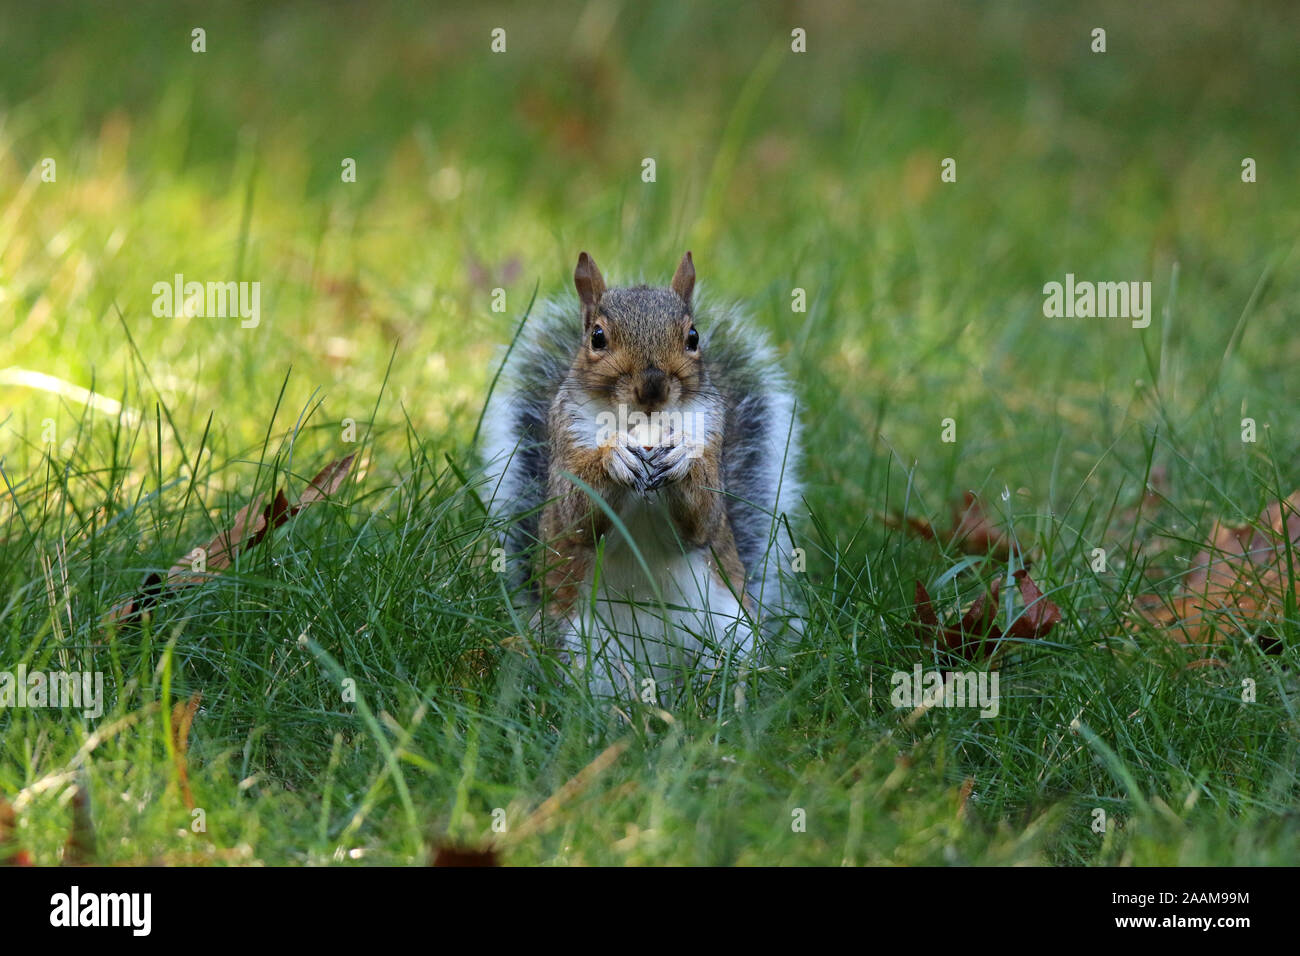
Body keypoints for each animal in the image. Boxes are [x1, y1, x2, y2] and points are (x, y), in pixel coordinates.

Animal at [482, 251, 802, 697]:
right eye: (597, 337)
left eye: (694, 337)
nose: (652, 387)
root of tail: (661, 681)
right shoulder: (567, 440)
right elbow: (576, 516)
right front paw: (612, 457)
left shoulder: (710, 434)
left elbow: (704, 518)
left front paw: (684, 457)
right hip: (578, 646)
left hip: (731, 634)